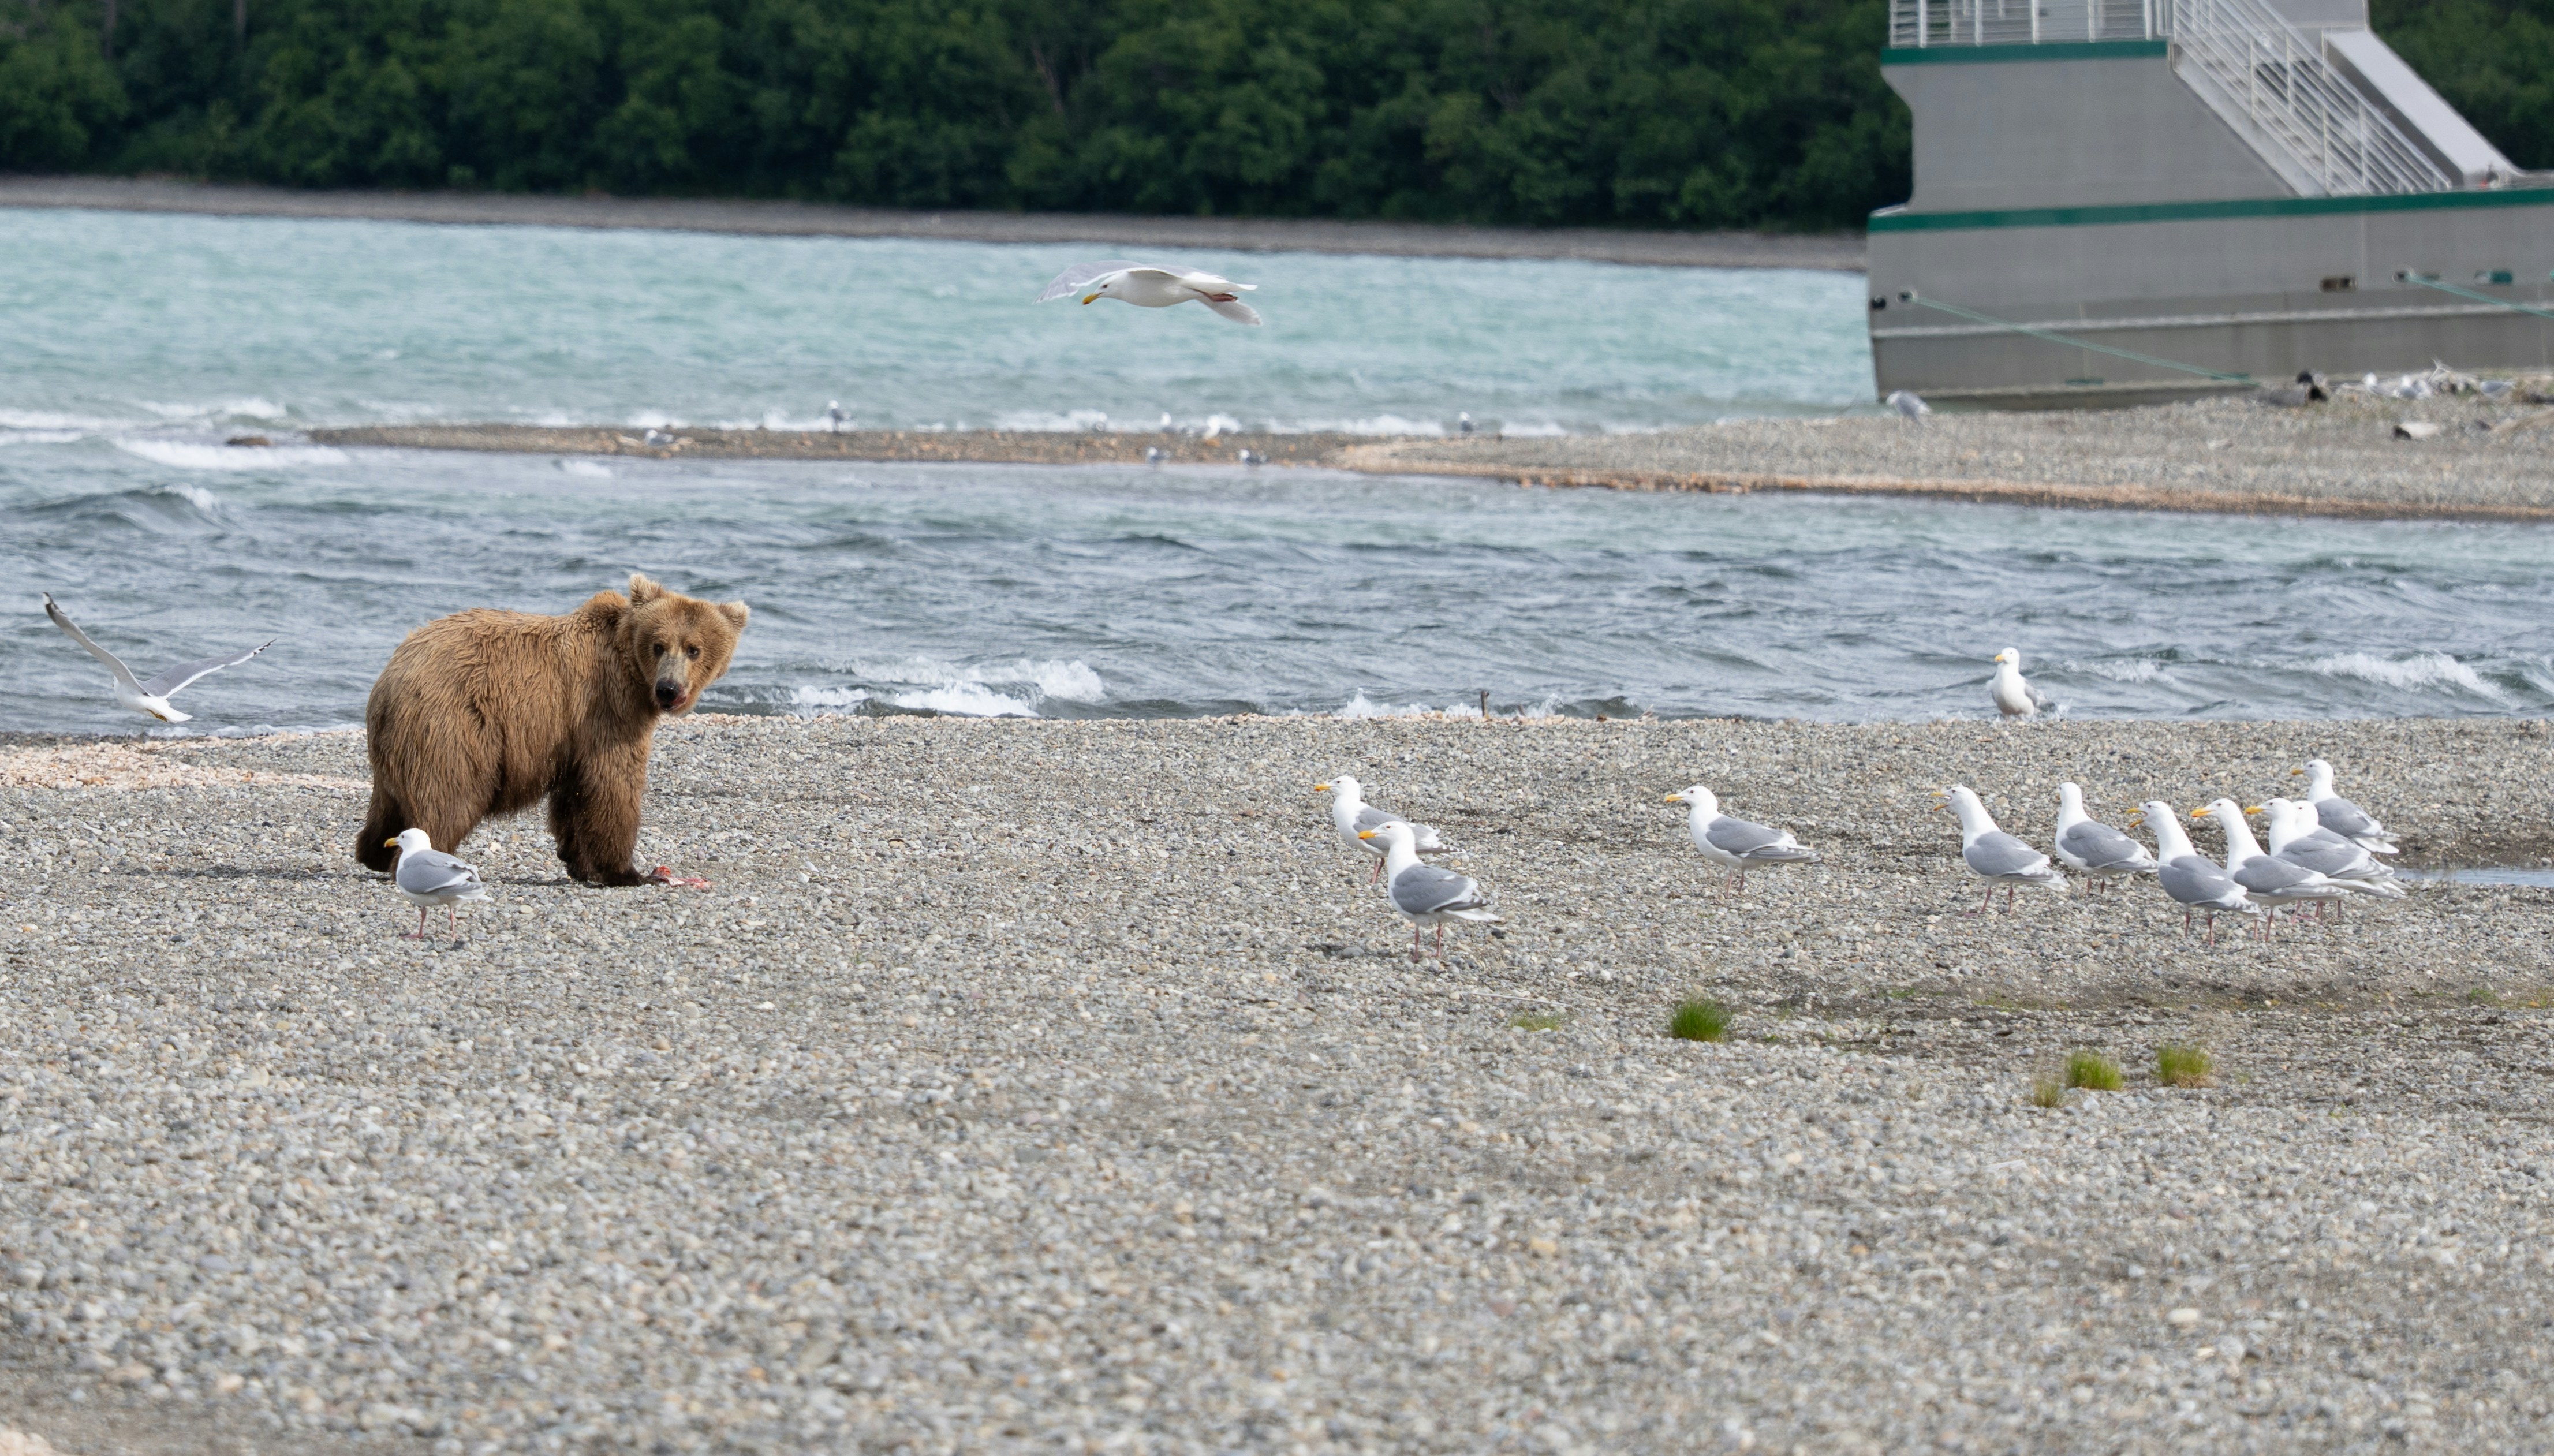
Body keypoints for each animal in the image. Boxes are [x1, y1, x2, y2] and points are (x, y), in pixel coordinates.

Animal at [355, 573, 749, 886]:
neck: (632, 672)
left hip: (399, 743)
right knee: (449, 795)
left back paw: (373, 852)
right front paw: (627, 872)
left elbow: (573, 795)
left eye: (694, 649)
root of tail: (390, 678)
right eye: (659, 645)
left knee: (389, 803)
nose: (669, 689)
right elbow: (613, 783)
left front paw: (578, 861)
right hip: (453, 724)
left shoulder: (572, 733)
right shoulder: (607, 708)